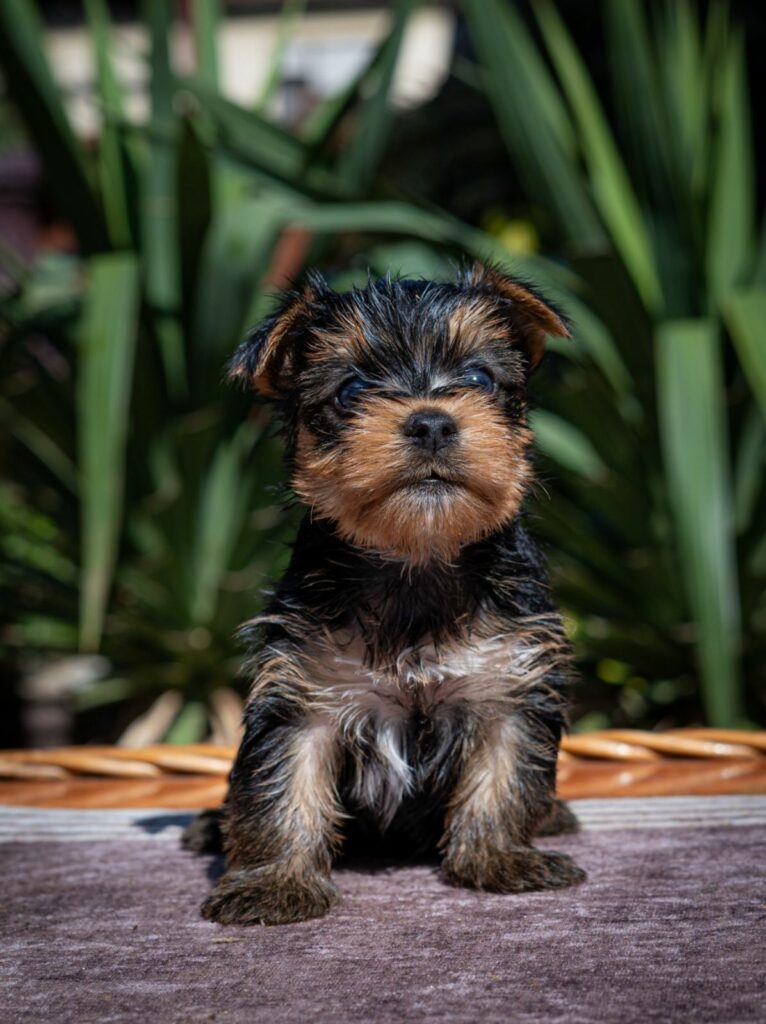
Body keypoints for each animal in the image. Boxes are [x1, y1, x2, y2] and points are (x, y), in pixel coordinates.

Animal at [184, 260, 585, 925]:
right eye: (351, 390)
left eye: (478, 377)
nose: (431, 420)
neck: (414, 558)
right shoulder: (303, 693)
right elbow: (280, 786)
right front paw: (272, 884)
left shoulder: (508, 684)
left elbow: (505, 776)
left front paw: (500, 858)